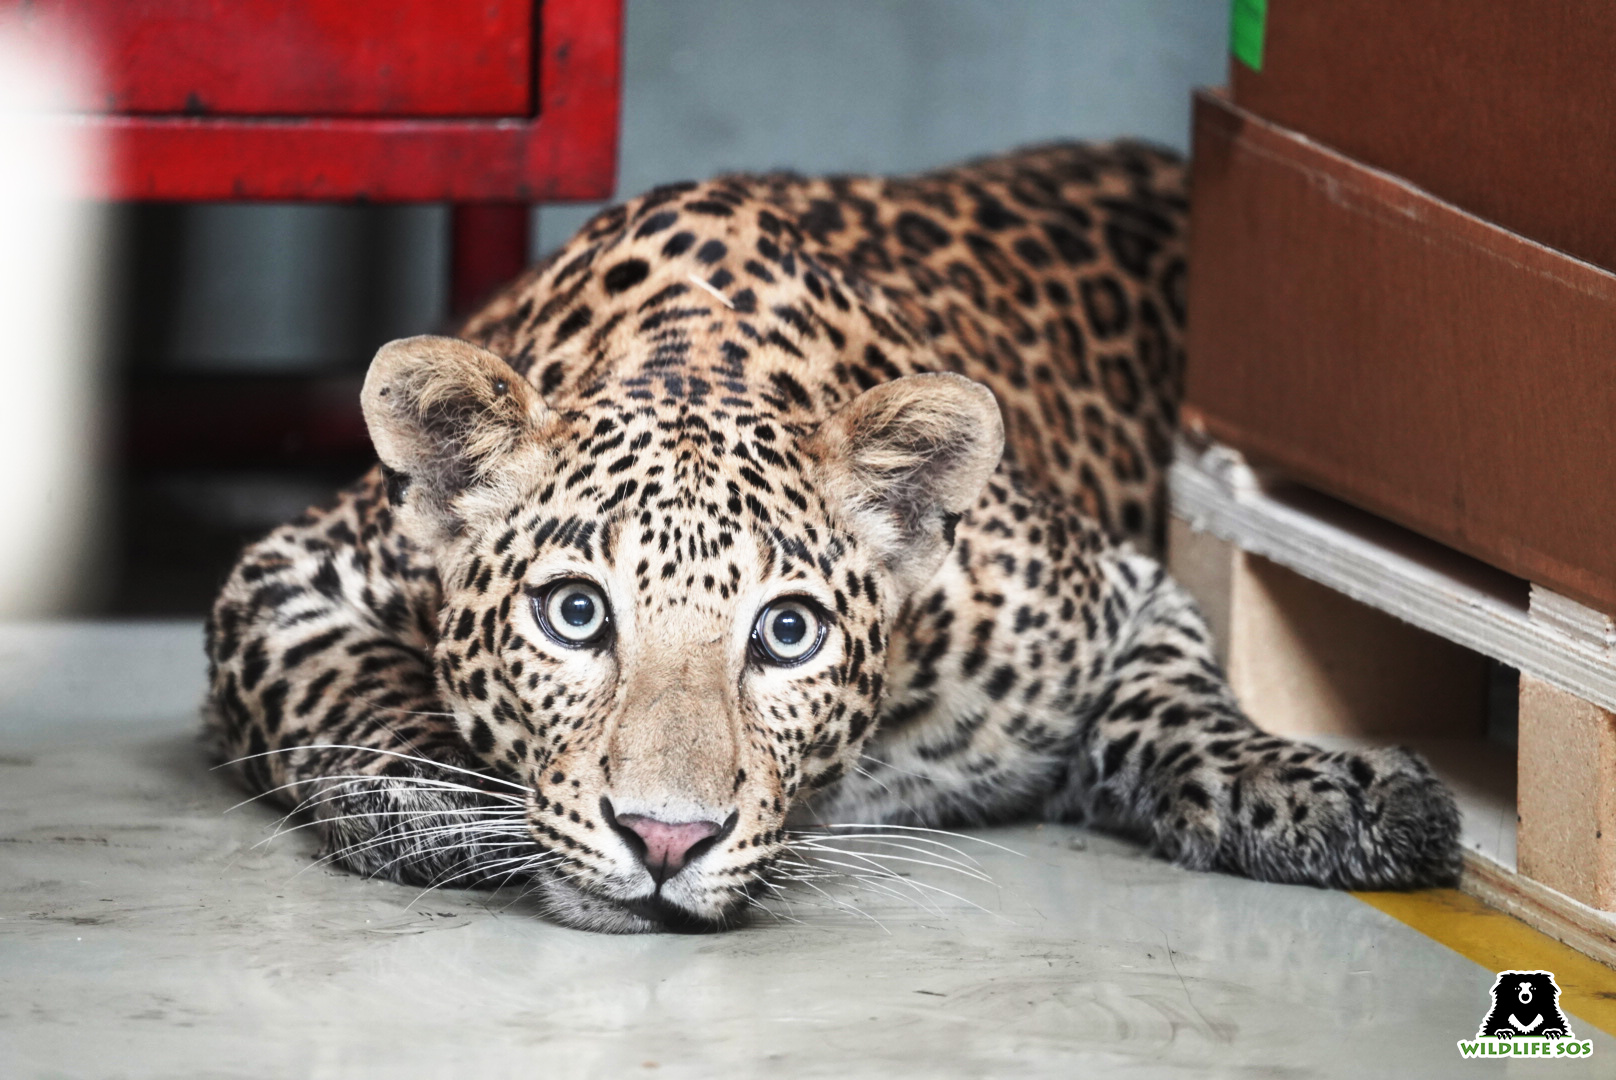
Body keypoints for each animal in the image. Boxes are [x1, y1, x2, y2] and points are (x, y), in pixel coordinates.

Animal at [204, 141, 1461, 934]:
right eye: (574, 614)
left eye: (787, 635)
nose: (665, 840)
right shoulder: (282, 583)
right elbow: (352, 693)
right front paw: (455, 806)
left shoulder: (1121, 596)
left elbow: (1182, 709)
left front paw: (1331, 795)